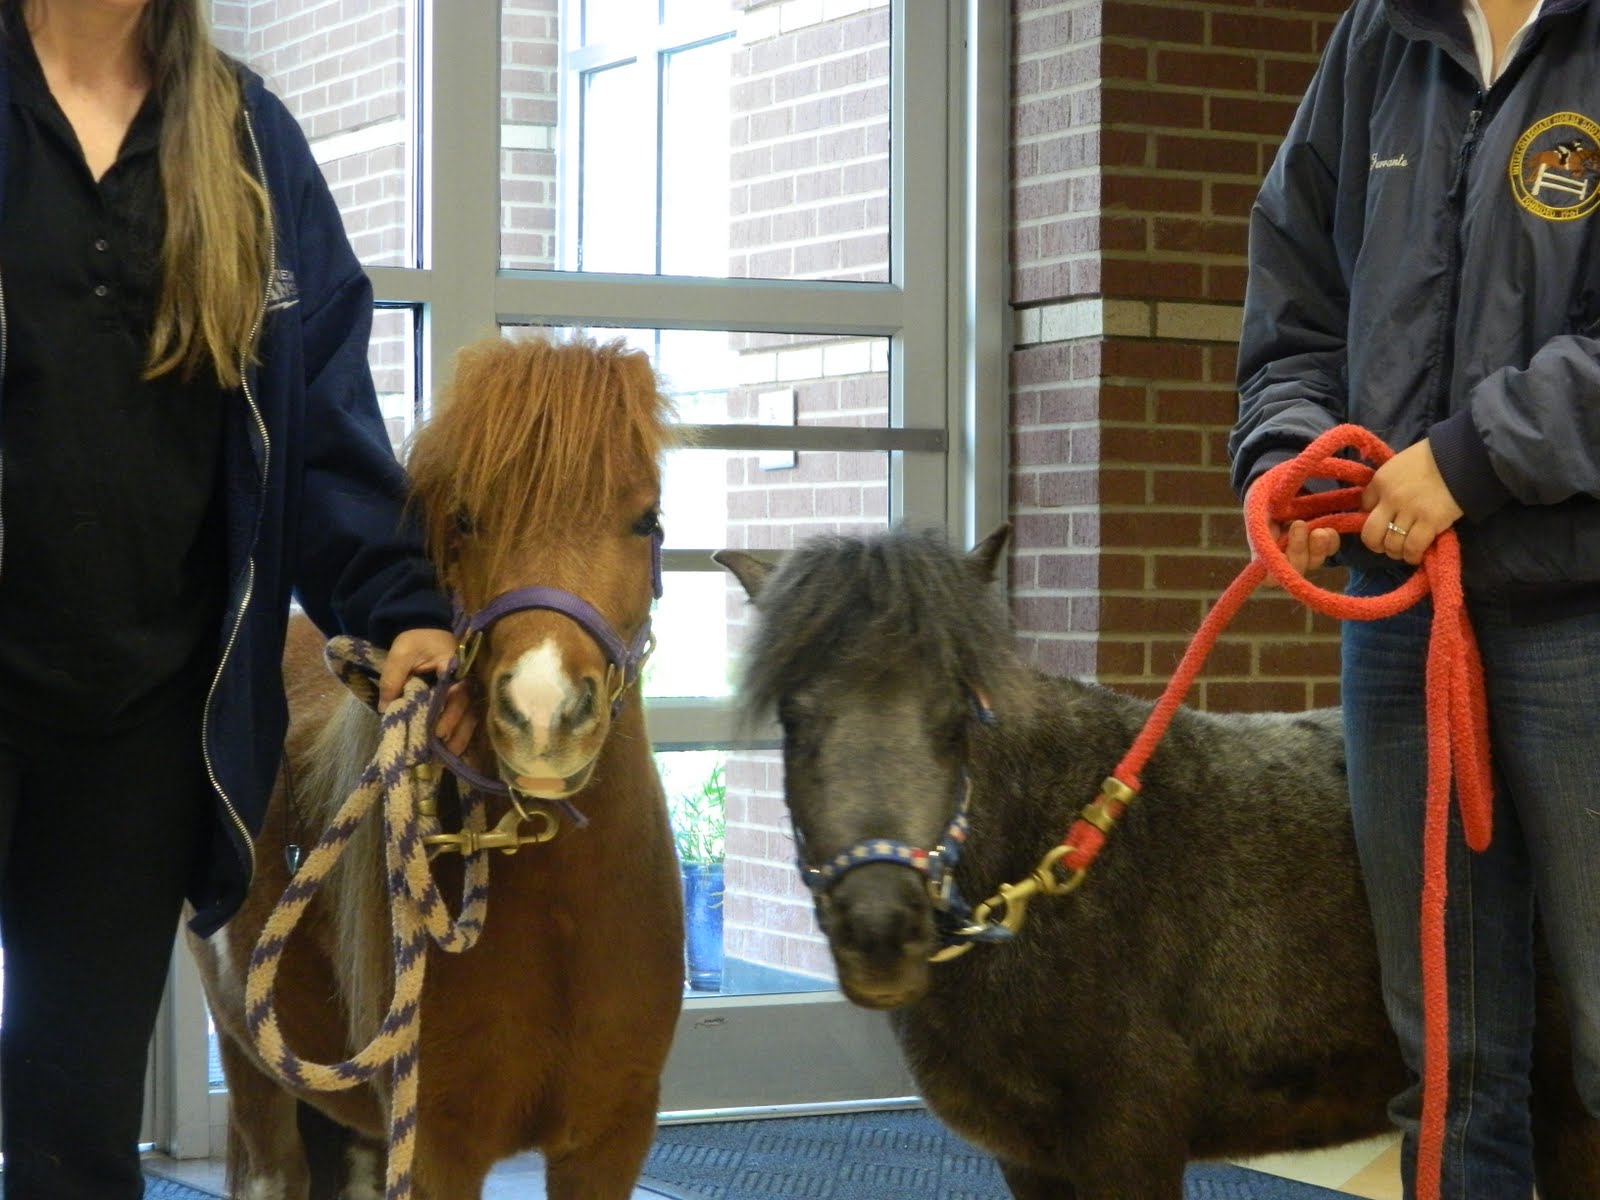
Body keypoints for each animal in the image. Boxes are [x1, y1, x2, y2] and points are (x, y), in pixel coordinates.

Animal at [189, 335, 685, 1200]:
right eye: (465, 519)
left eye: (645, 518)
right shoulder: (434, 1148)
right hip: (250, 1062)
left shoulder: (609, 1139)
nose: (545, 713)